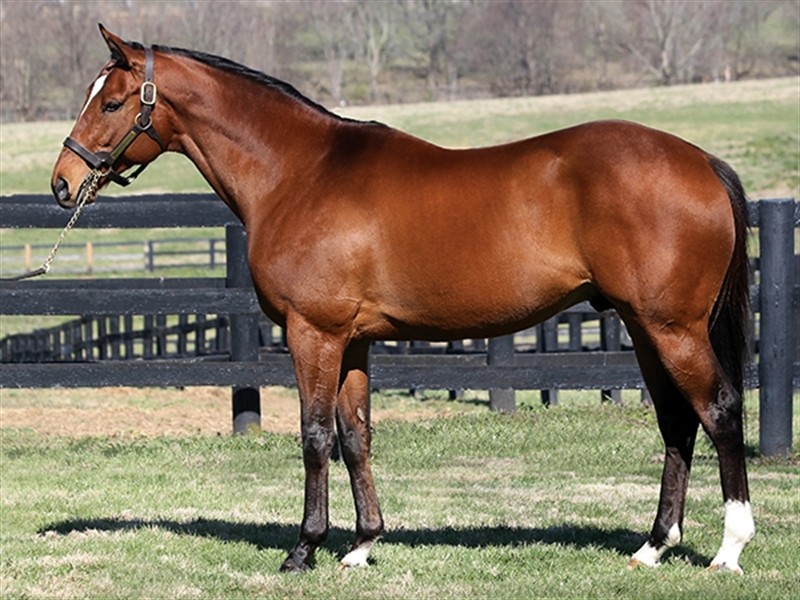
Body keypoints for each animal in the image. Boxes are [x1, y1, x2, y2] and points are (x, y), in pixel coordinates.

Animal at [51, 25, 754, 574]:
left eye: (111, 102)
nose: (62, 182)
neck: (299, 173)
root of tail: (701, 162)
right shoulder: (354, 340)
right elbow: (355, 435)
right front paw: (362, 545)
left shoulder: (314, 332)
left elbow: (314, 435)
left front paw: (304, 549)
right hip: (642, 327)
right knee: (676, 420)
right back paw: (653, 547)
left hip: (673, 327)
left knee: (718, 410)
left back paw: (729, 549)